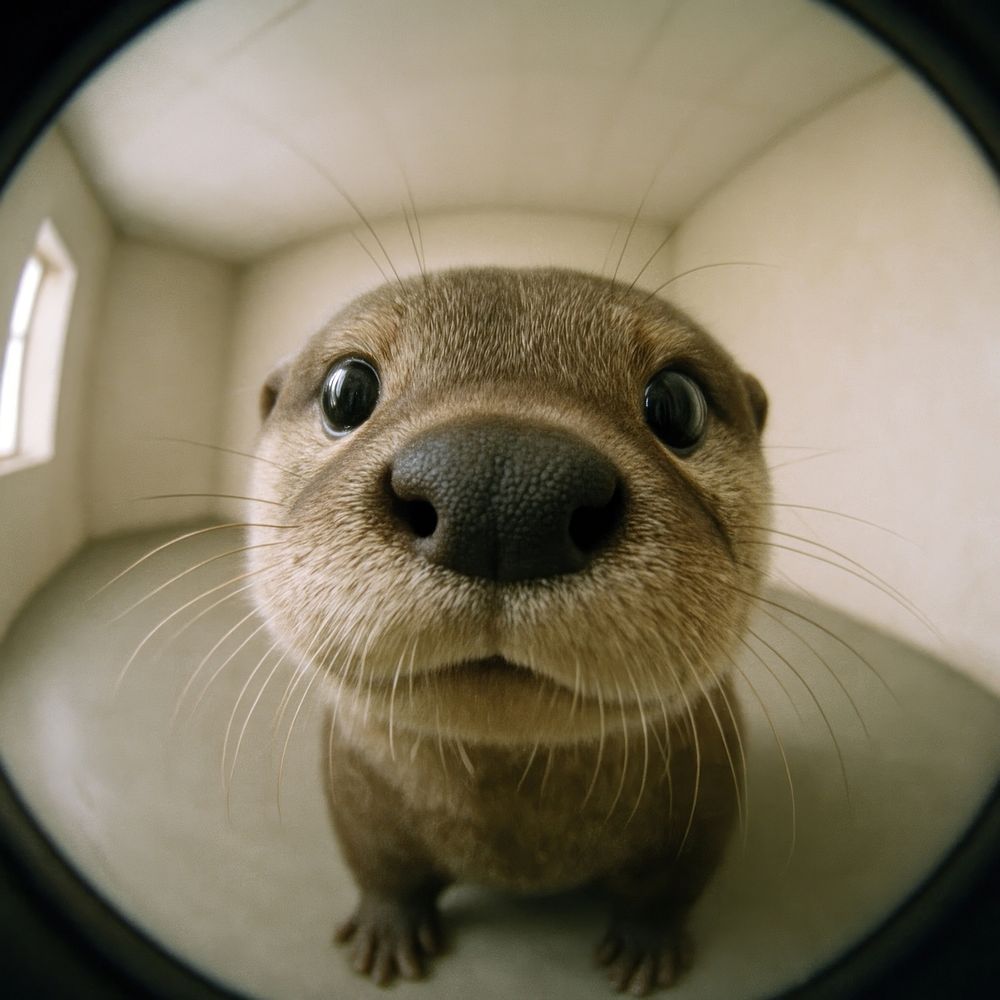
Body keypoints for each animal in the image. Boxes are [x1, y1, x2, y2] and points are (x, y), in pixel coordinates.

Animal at [246, 266, 770, 996]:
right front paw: (388, 930)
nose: (497, 486)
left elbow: (667, 886)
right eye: (345, 391)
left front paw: (647, 945)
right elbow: (381, 867)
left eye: (677, 403)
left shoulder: (707, 795)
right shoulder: (352, 793)